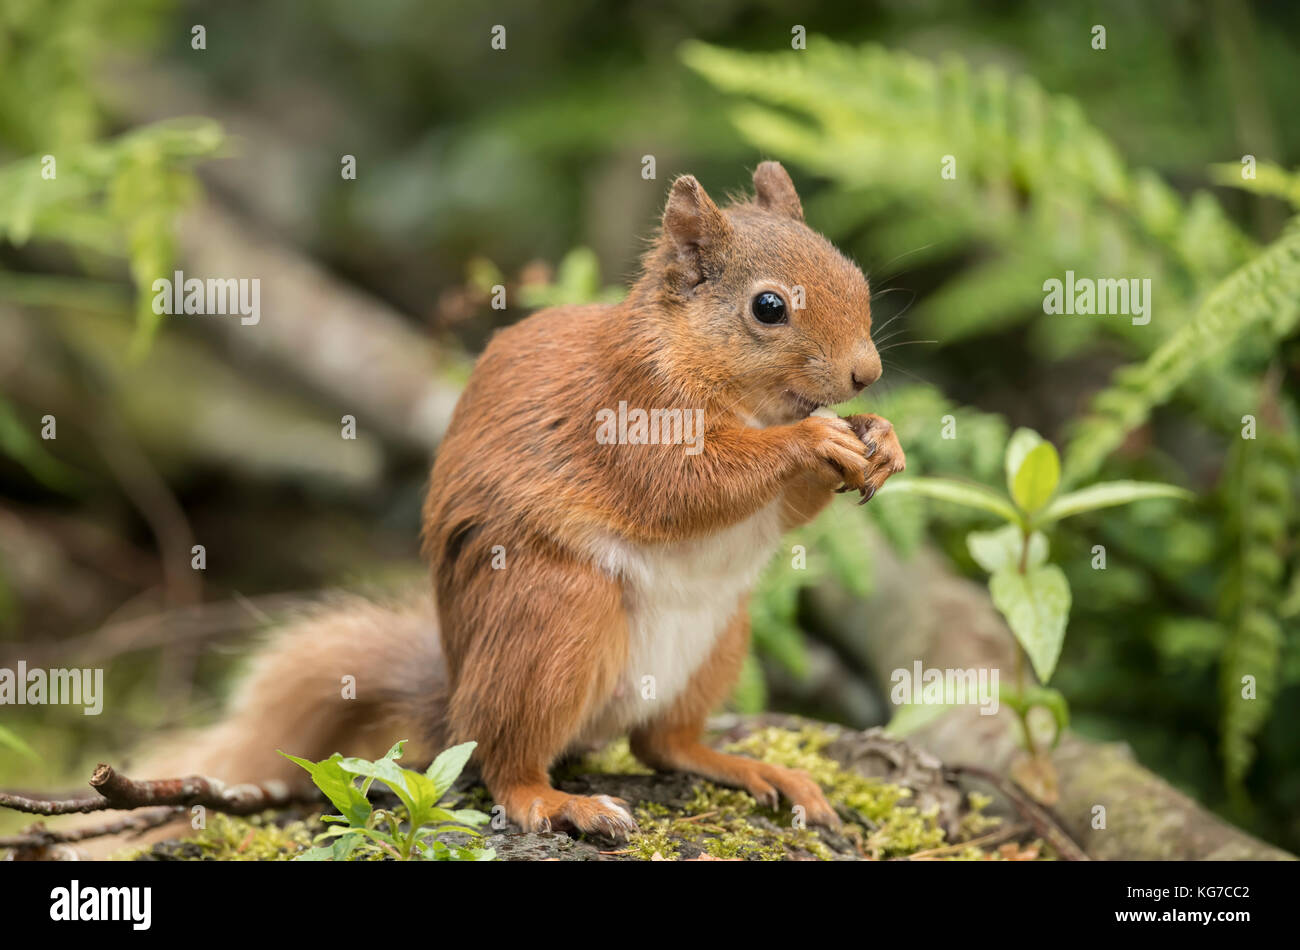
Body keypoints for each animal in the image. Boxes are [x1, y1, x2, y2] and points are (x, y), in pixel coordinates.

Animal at [105, 162, 905, 844]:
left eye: (856, 277)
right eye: (768, 308)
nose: (867, 373)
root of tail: (456, 698)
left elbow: (784, 510)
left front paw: (883, 440)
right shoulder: (626, 416)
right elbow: (685, 486)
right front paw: (812, 438)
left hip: (718, 642)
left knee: (663, 744)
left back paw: (751, 768)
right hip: (552, 620)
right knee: (505, 762)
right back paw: (558, 802)